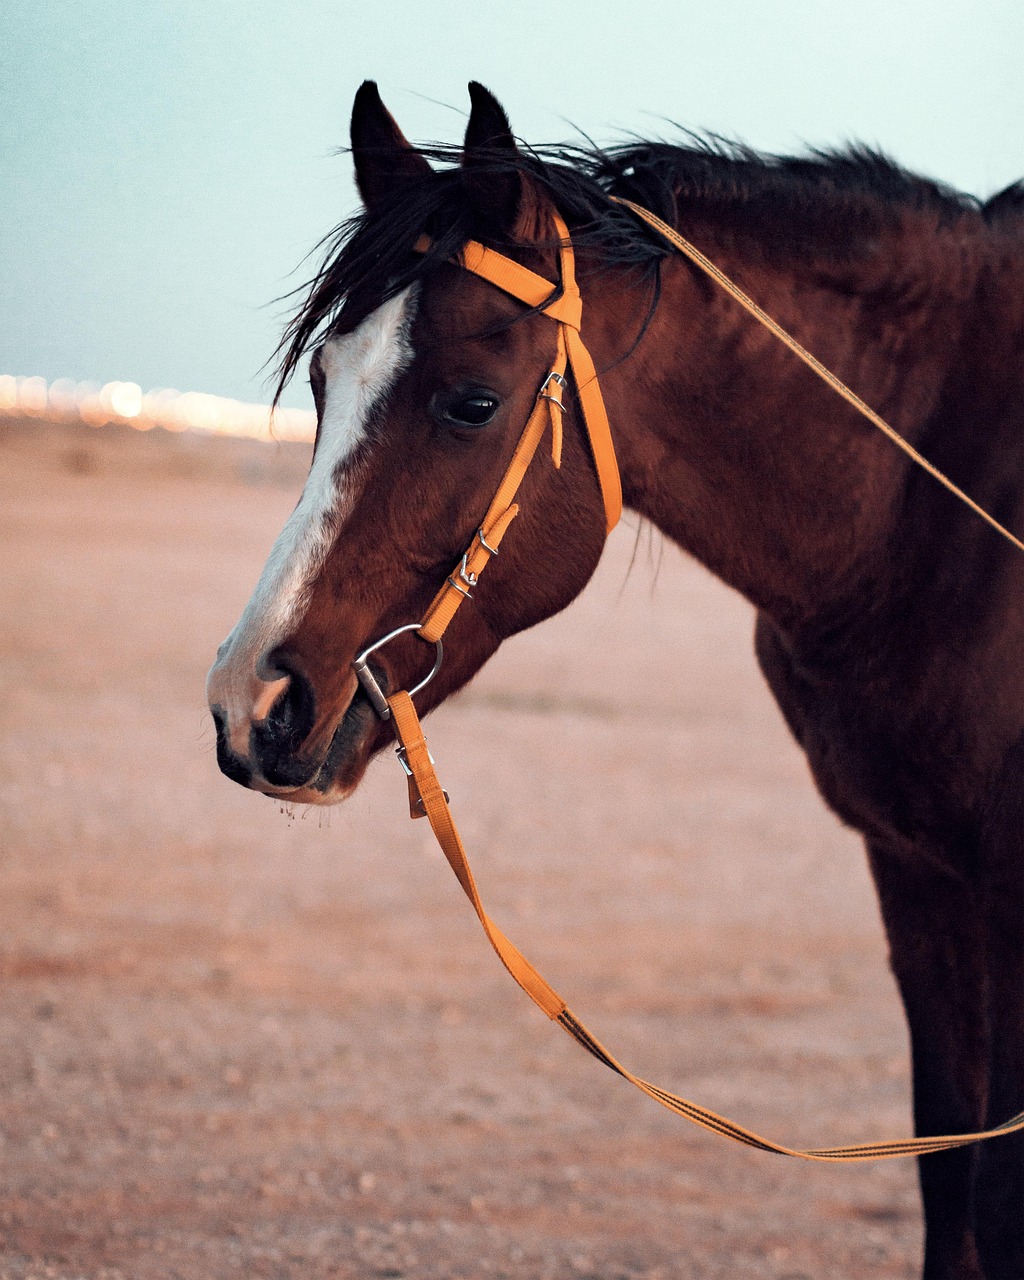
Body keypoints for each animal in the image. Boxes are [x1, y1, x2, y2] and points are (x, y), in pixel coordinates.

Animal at [206, 81, 1024, 1279]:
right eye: (321, 380)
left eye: (471, 403)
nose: (253, 705)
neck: (938, 509)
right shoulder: (916, 873)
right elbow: (949, 1181)